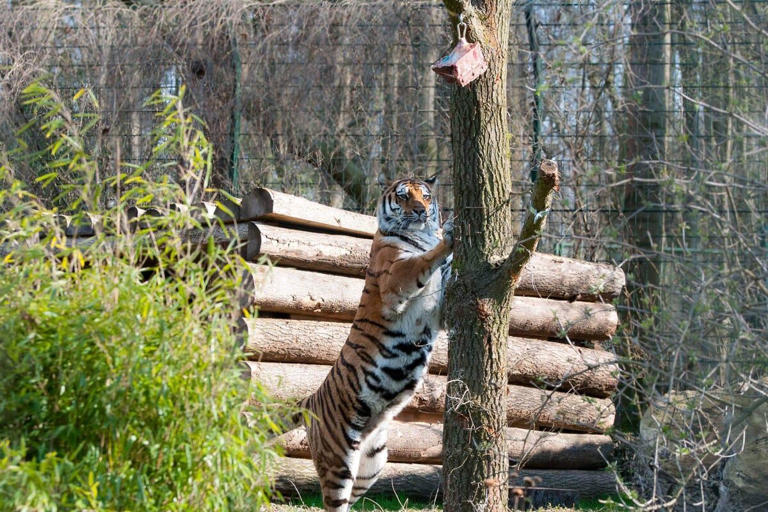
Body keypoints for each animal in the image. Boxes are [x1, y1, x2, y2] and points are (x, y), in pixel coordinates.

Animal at [298, 175, 453, 511]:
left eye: (426, 195)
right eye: (404, 196)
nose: (421, 211)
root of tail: (309, 401)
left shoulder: (442, 311)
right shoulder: (396, 277)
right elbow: (422, 261)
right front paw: (449, 236)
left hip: (373, 463)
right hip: (339, 459)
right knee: (333, 502)